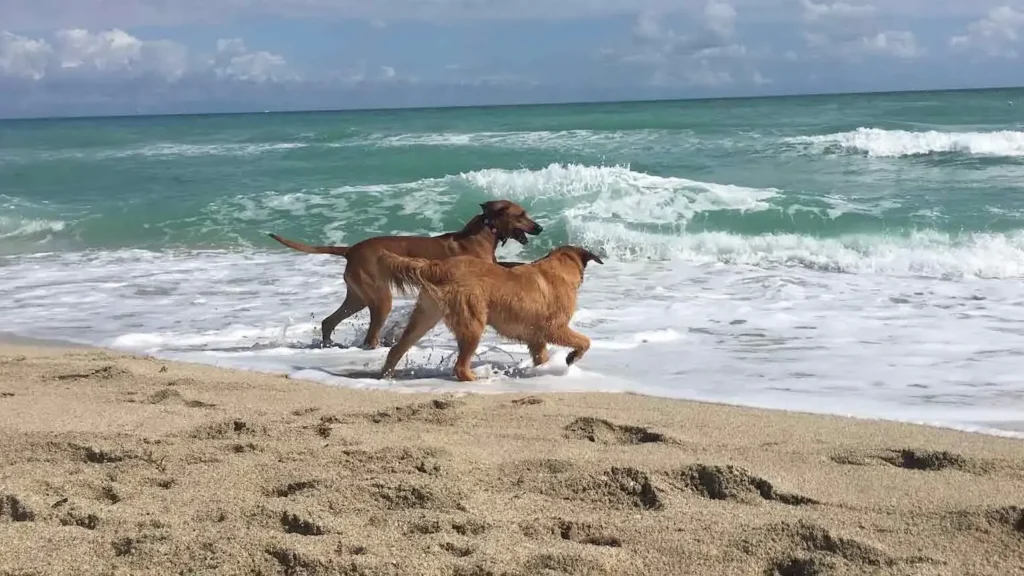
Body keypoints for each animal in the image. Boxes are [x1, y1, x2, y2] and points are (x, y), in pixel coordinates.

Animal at [270, 199, 544, 348]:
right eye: (521, 214)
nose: (540, 228)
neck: (484, 233)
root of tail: (350, 250)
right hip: (380, 298)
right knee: (369, 336)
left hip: (357, 296)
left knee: (329, 321)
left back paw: (328, 344)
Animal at [376, 243, 602, 379]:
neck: (560, 267)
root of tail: (438, 266)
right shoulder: (553, 329)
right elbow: (585, 341)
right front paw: (572, 357)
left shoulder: (536, 338)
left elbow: (542, 357)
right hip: (473, 323)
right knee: (460, 366)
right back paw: (477, 379)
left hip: (425, 316)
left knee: (397, 349)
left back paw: (386, 376)